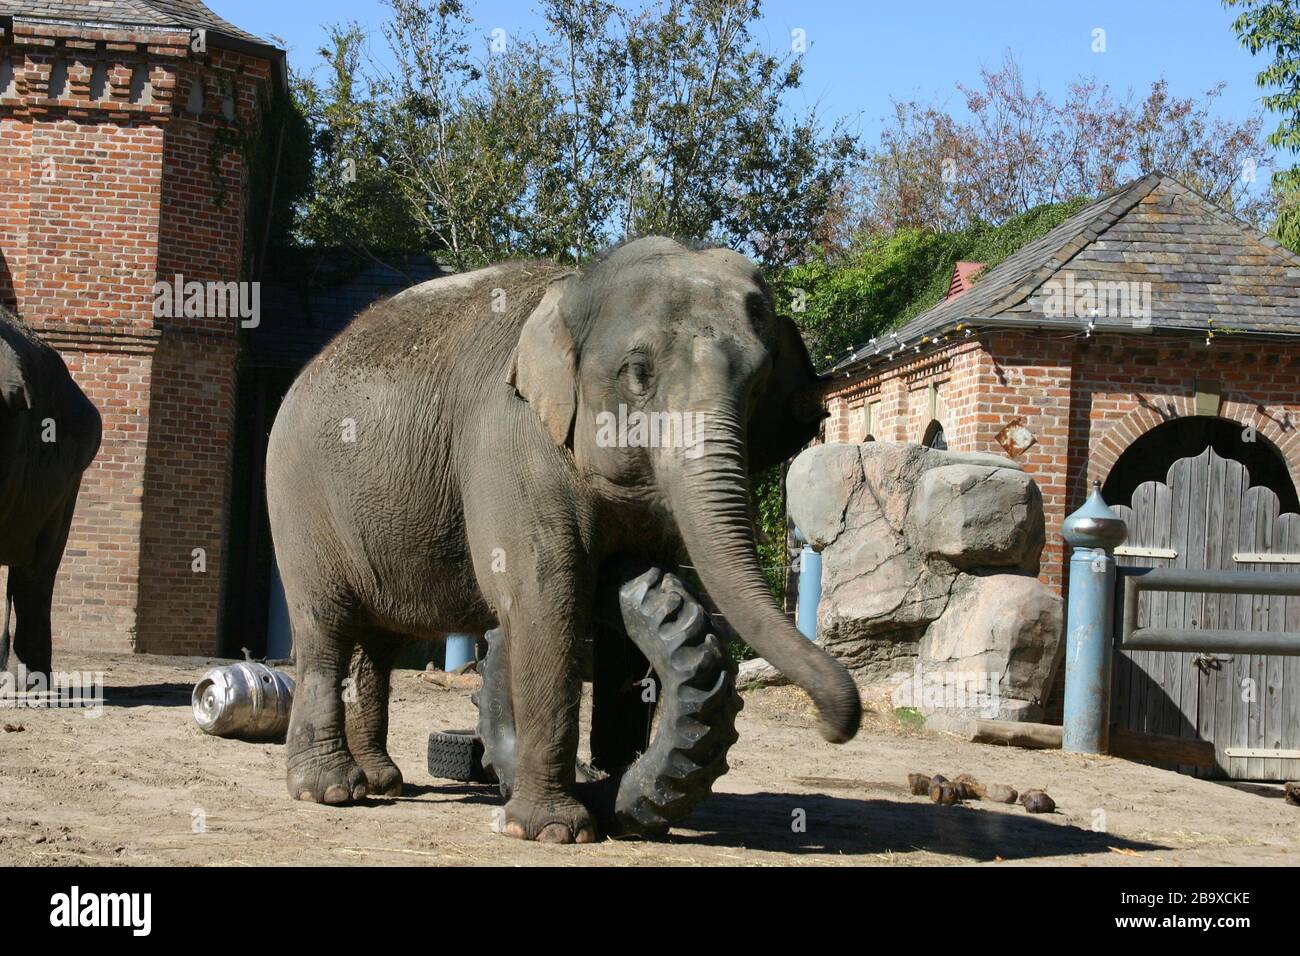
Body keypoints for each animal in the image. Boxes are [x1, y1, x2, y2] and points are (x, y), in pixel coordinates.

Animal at [265, 236, 862, 843]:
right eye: (638, 373)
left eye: (759, 384)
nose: (834, 726)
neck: (576, 287)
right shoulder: (510, 440)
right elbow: (543, 597)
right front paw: (554, 830)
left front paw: (610, 792)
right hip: (297, 501)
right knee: (325, 629)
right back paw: (331, 791)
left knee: (379, 643)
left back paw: (383, 780)